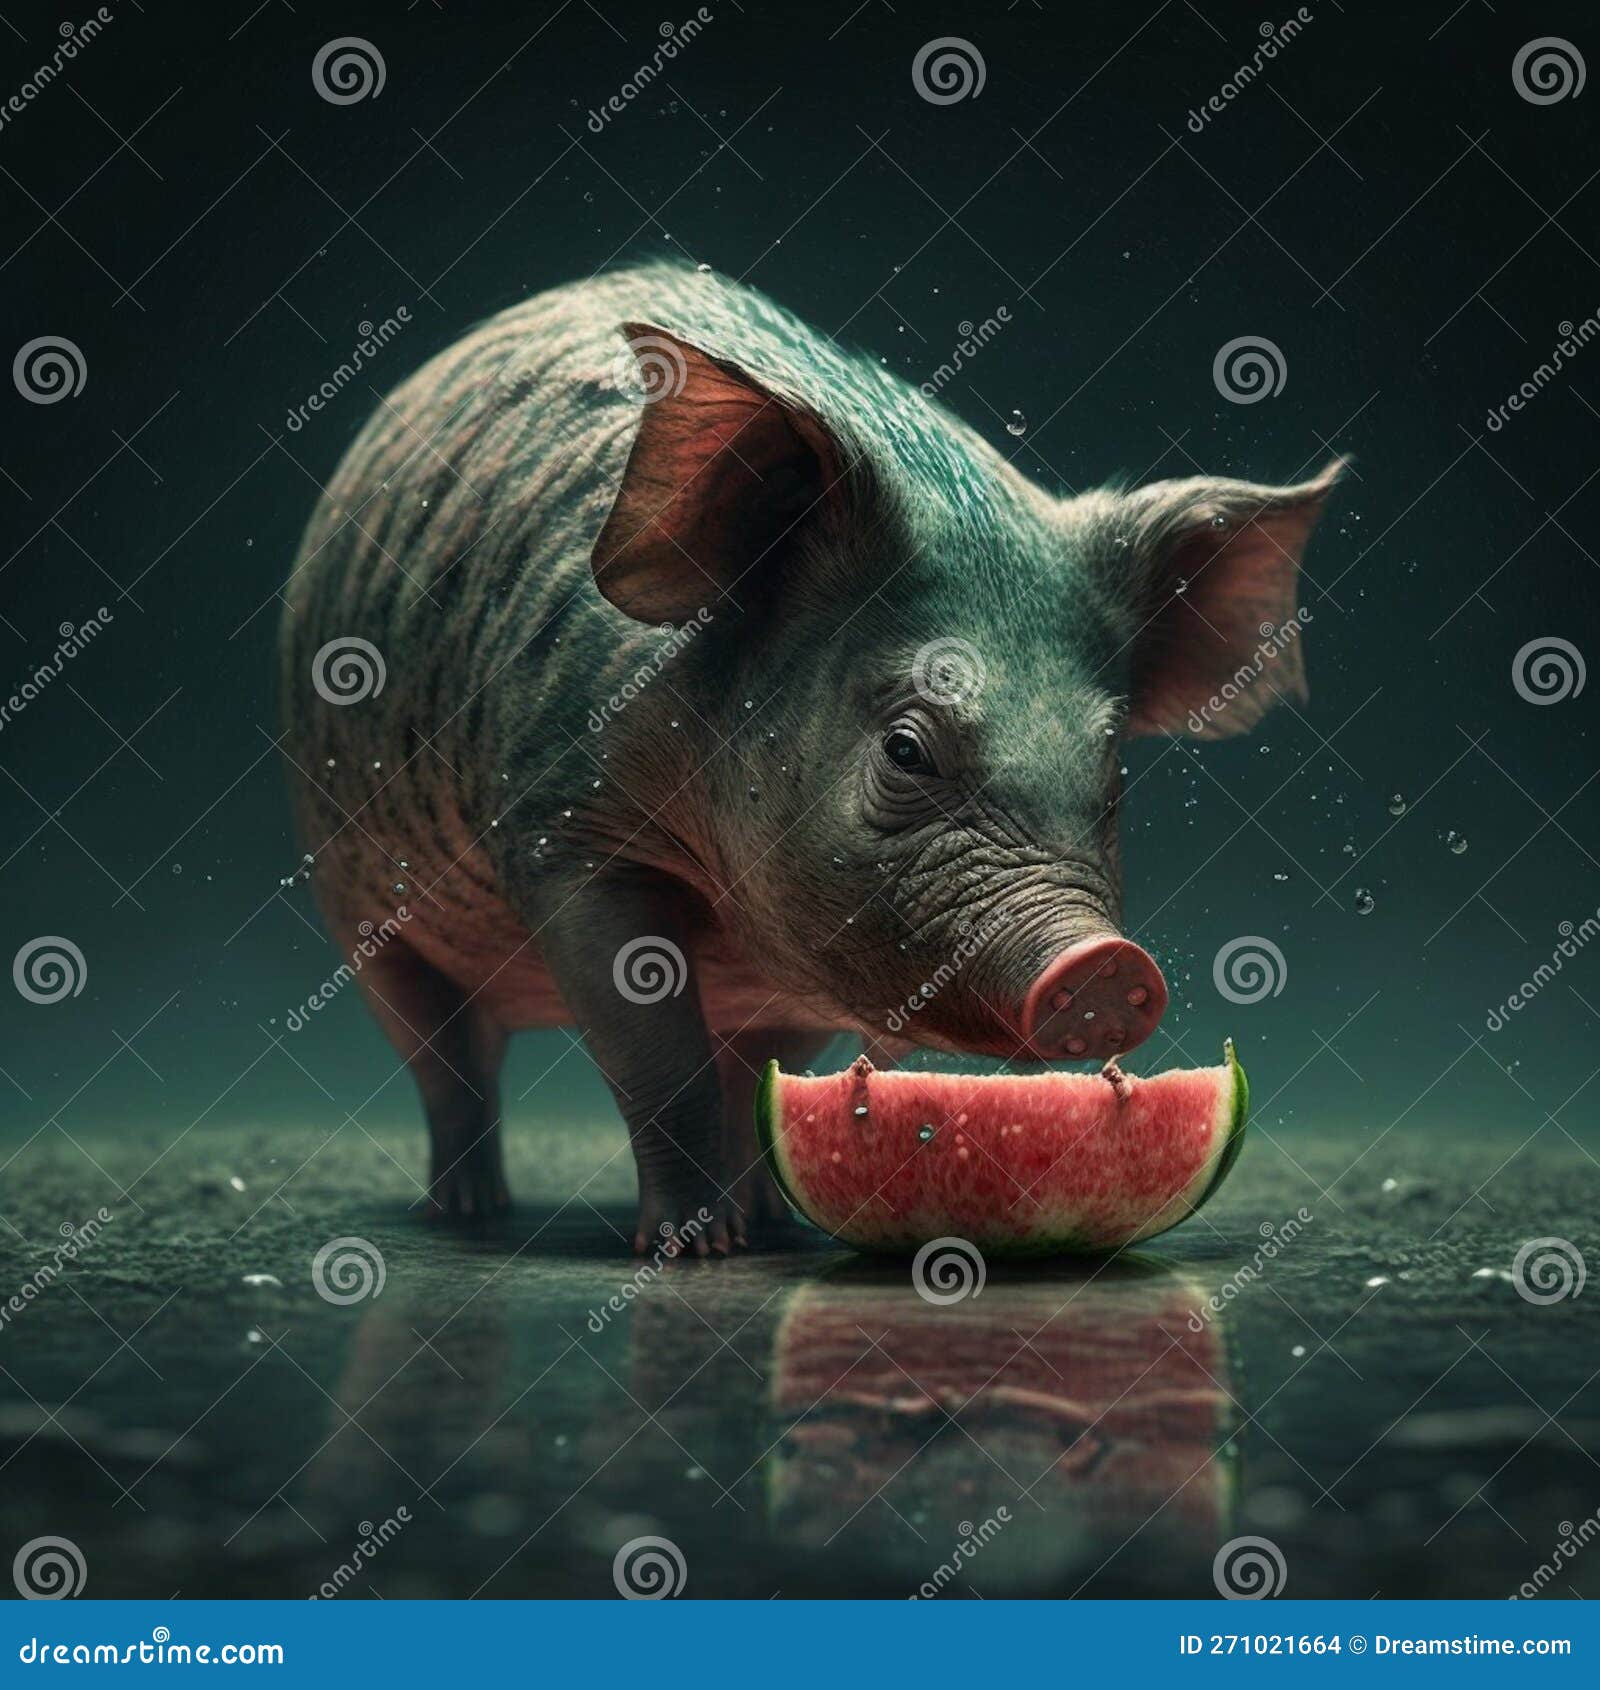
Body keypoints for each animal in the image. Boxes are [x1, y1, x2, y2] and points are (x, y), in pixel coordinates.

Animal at [280, 261, 1338, 1253]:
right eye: (906, 749)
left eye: (1111, 769)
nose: (1107, 962)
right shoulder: (561, 834)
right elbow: (655, 1057)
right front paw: (693, 1251)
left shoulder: (789, 973)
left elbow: (755, 1071)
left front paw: (764, 1231)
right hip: (359, 914)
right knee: (447, 1062)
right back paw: (467, 1213)